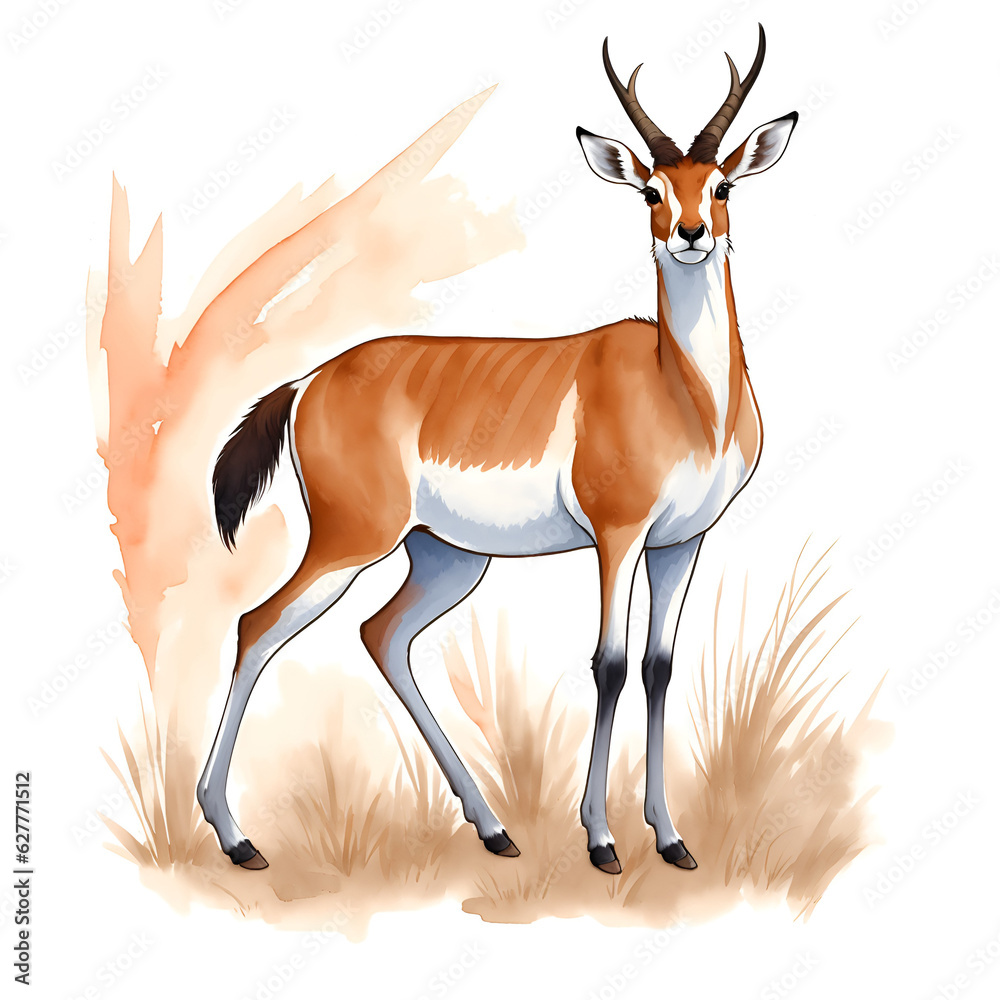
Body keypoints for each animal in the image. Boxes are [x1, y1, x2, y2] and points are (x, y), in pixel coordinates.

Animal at [197, 25, 797, 874]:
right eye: (650, 190)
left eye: (723, 187)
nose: (690, 234)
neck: (683, 391)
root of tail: (312, 378)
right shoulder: (618, 536)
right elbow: (610, 665)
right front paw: (602, 841)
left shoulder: (682, 542)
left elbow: (659, 667)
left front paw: (673, 839)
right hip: (351, 542)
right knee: (258, 625)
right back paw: (237, 837)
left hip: (447, 556)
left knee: (382, 637)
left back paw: (494, 829)